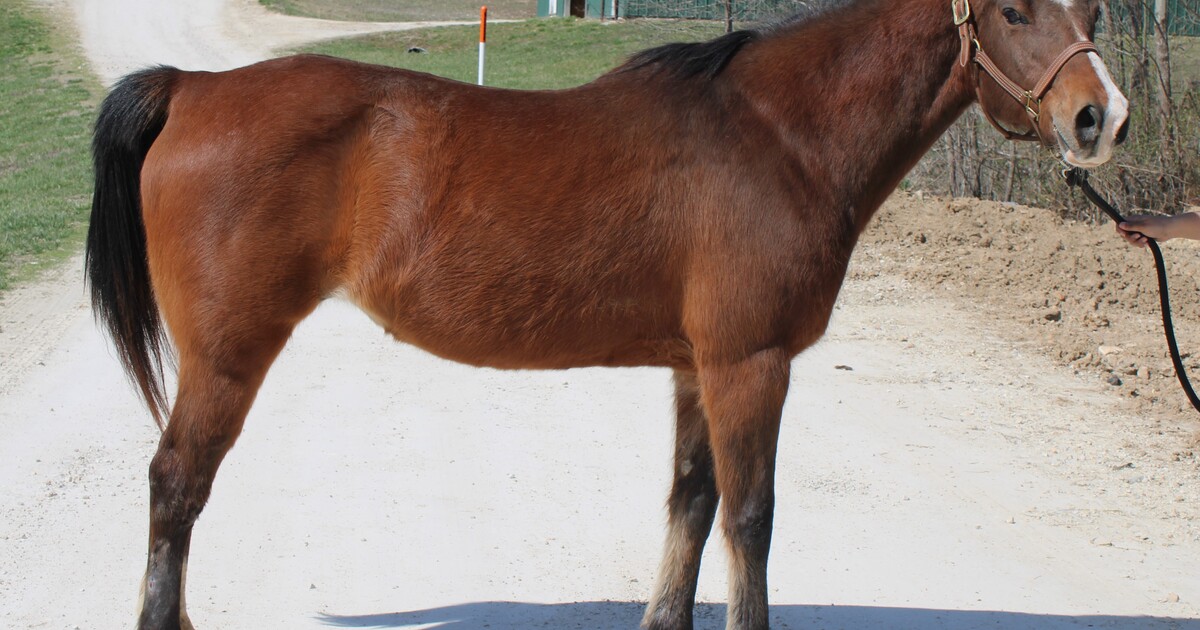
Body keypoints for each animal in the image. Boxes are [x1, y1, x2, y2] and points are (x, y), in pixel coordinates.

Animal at [86, 0, 1127, 627]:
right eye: (1012, 9)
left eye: (1091, 9)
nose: (1101, 120)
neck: (776, 138)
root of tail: (193, 89)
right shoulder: (750, 362)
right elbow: (751, 517)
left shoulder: (697, 366)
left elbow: (691, 504)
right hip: (228, 357)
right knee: (176, 488)